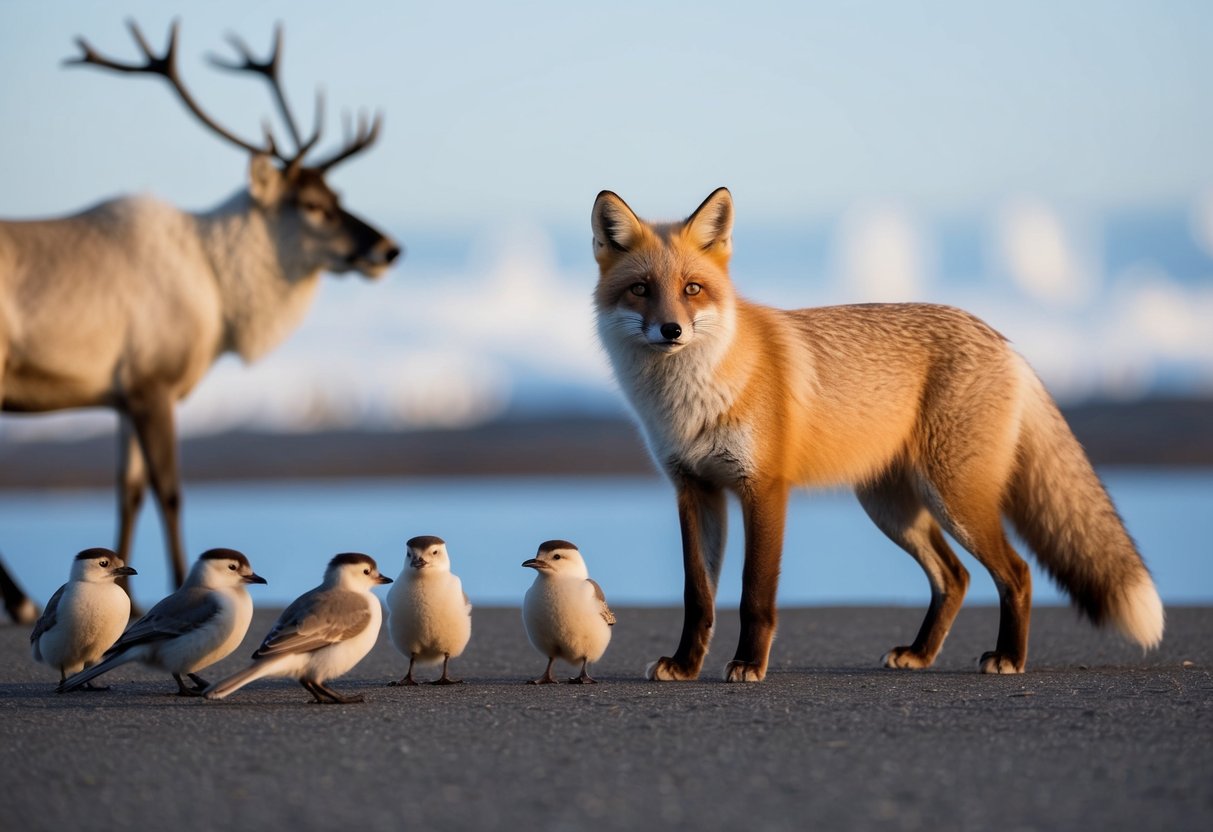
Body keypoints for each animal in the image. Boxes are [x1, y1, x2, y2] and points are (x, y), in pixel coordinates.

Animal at [591, 186, 1164, 681]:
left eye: (692, 289)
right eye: (641, 290)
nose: (671, 330)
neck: (692, 400)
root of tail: (1001, 338)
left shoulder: (765, 488)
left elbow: (754, 593)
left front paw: (749, 664)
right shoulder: (695, 489)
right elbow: (698, 596)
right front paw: (685, 665)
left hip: (955, 499)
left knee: (1017, 572)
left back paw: (1008, 657)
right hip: (892, 507)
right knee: (955, 577)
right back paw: (921, 653)